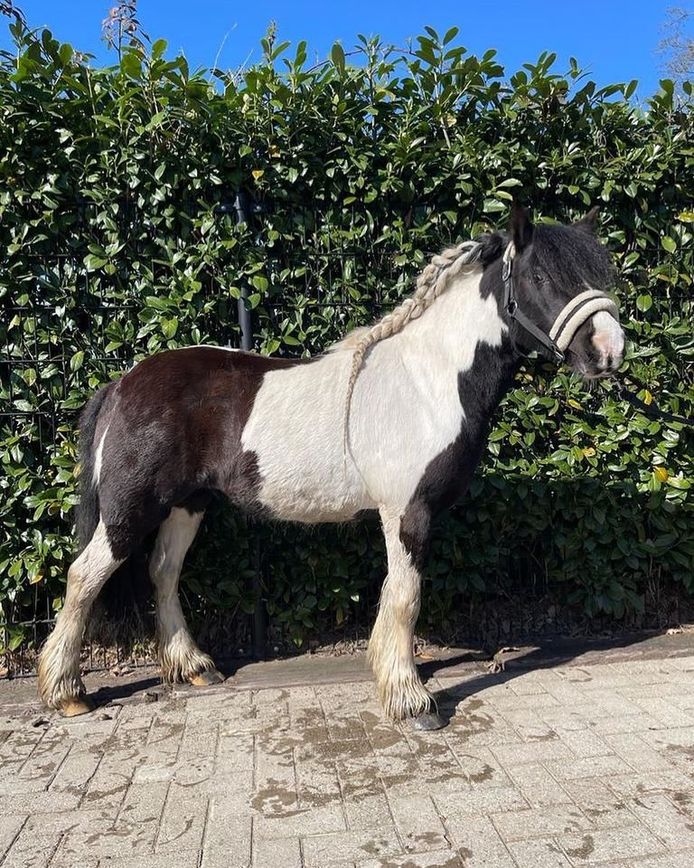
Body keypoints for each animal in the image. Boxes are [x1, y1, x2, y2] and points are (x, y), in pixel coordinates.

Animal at [37, 203, 624, 730]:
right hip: (132, 508)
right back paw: (67, 693)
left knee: (163, 571)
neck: (427, 380)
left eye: (597, 273)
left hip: (188, 503)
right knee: (84, 576)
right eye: (541, 275)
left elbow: (395, 594)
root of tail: (123, 383)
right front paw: (412, 702)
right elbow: (406, 597)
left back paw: (193, 667)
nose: (609, 349)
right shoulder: (407, 513)